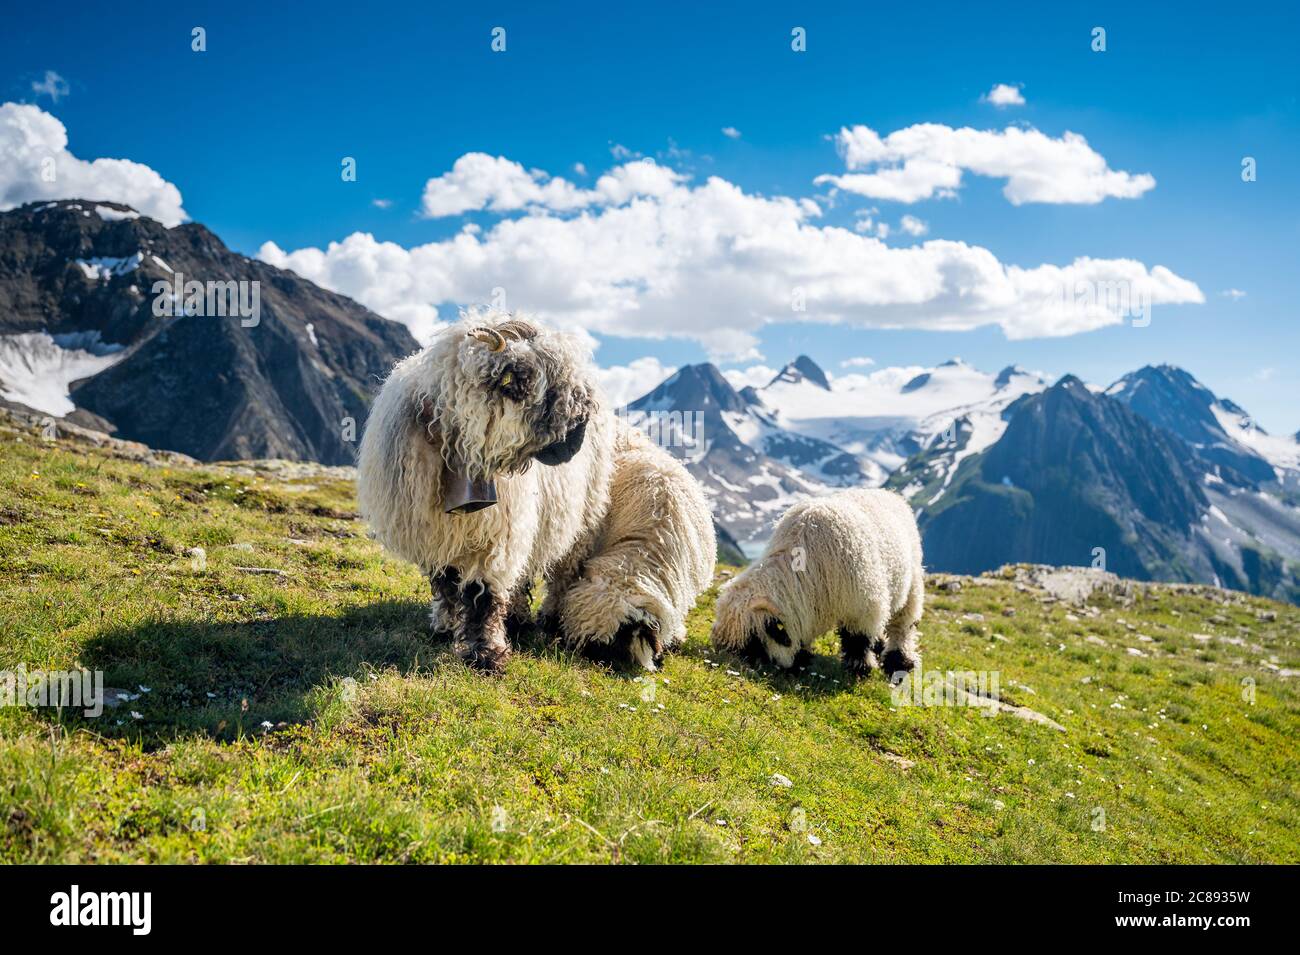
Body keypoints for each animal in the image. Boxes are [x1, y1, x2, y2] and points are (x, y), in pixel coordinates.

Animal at [356, 309, 714, 673]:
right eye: (541, 384)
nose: (583, 421)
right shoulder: (435, 533)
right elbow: (446, 582)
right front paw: (446, 627)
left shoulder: (494, 536)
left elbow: (481, 595)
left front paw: (486, 654)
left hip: (576, 525)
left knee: (555, 575)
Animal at [710, 488, 924, 678]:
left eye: (753, 644)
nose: (734, 666)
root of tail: (890, 493)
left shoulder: (864, 606)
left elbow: (858, 640)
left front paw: (860, 668)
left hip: (912, 584)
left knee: (903, 625)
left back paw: (900, 662)